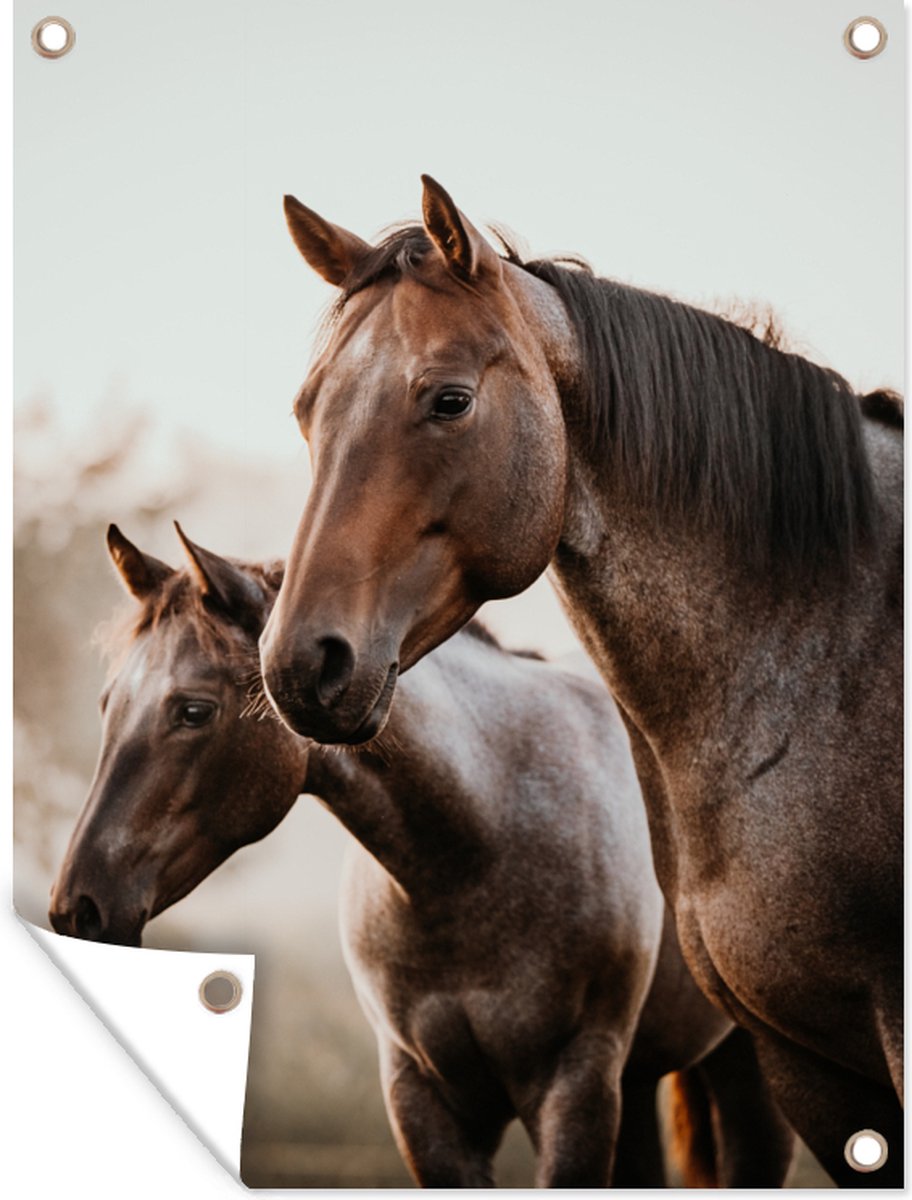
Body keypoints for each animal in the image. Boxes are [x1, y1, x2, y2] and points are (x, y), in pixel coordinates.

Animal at [49, 525, 794, 1188]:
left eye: (194, 710)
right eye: (108, 704)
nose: (76, 907)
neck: (478, 852)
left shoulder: (575, 1086)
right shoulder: (423, 1100)